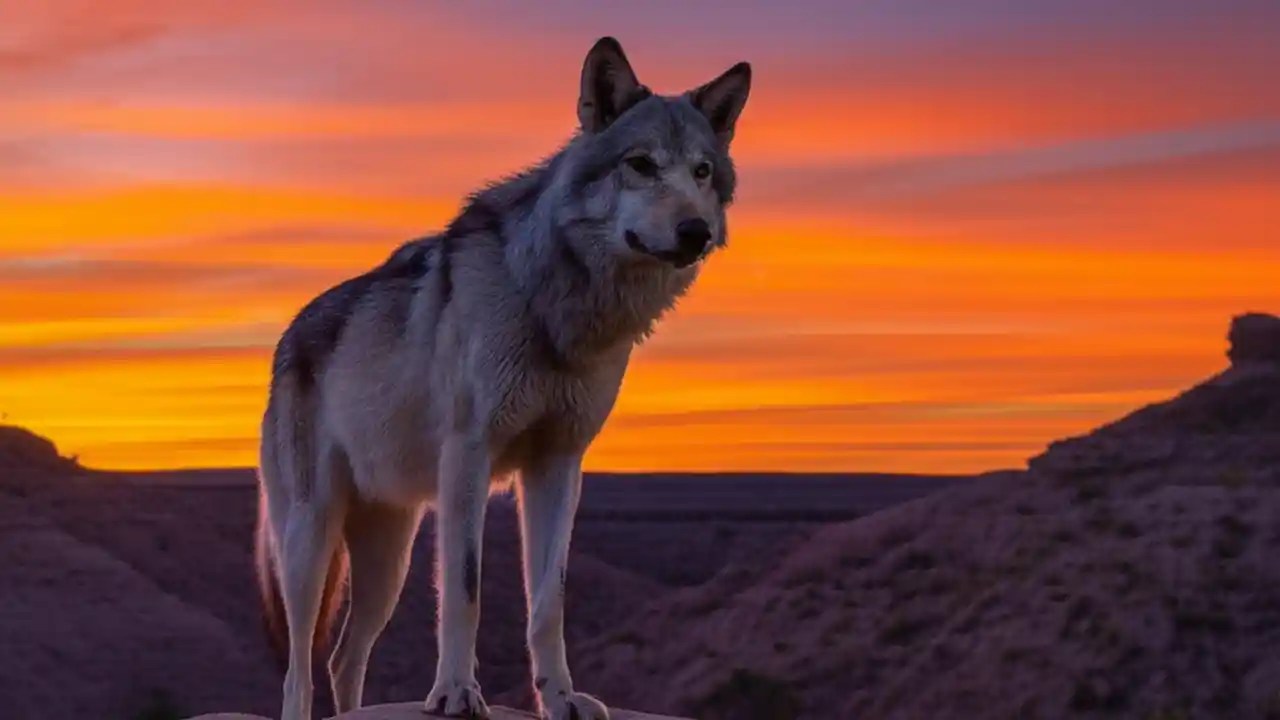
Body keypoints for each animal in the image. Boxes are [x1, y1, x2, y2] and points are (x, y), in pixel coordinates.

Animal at [255, 37, 751, 720]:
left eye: (703, 172)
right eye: (642, 164)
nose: (695, 232)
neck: (553, 303)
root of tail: (292, 331)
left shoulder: (558, 464)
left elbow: (548, 602)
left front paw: (561, 698)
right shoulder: (469, 456)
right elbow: (466, 589)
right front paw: (457, 693)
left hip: (388, 559)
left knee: (343, 659)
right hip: (310, 540)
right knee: (298, 669)